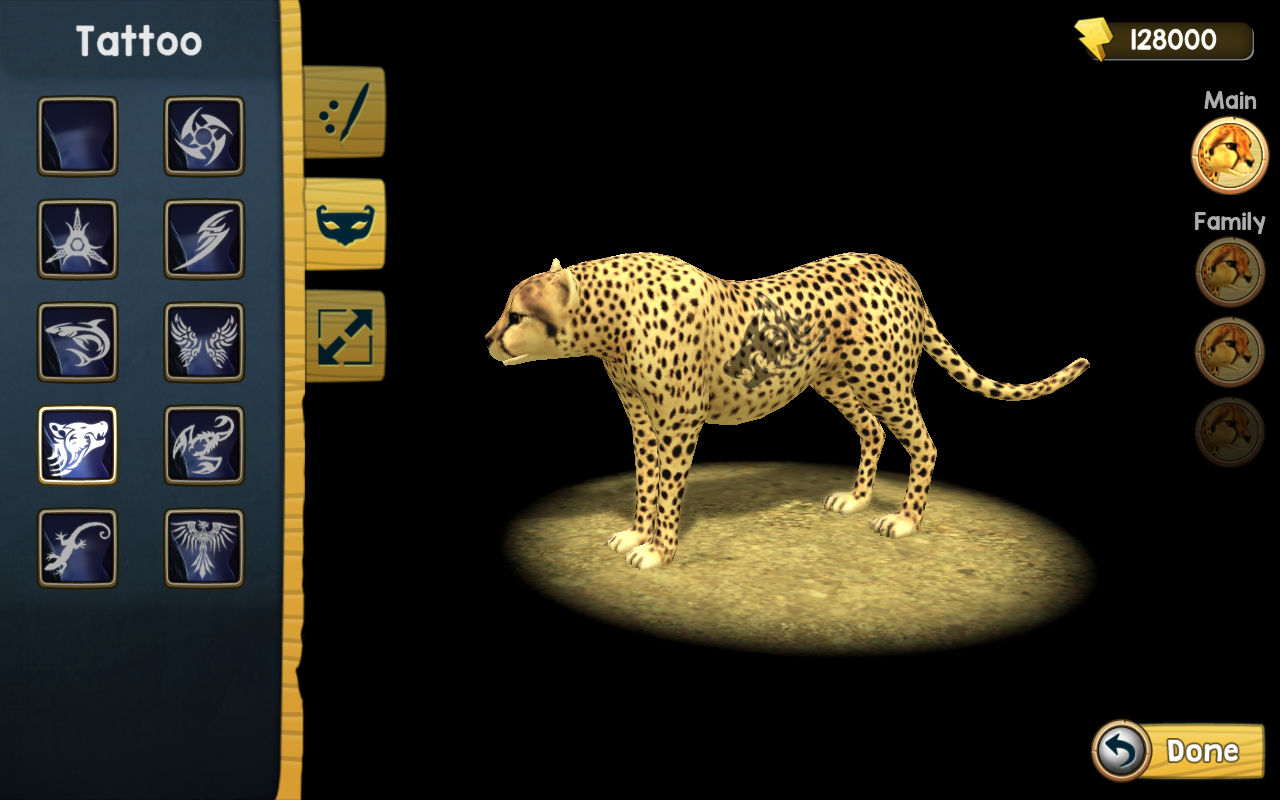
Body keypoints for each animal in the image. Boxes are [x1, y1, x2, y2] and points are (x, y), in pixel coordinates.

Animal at [485, 253, 1091, 570]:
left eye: (517, 315)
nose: (488, 339)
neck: (609, 321)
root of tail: (895, 266)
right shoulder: (644, 423)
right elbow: (645, 483)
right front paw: (636, 534)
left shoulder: (680, 424)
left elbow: (669, 491)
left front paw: (659, 550)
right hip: (835, 381)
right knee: (871, 432)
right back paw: (857, 498)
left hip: (887, 381)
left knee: (924, 443)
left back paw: (905, 519)